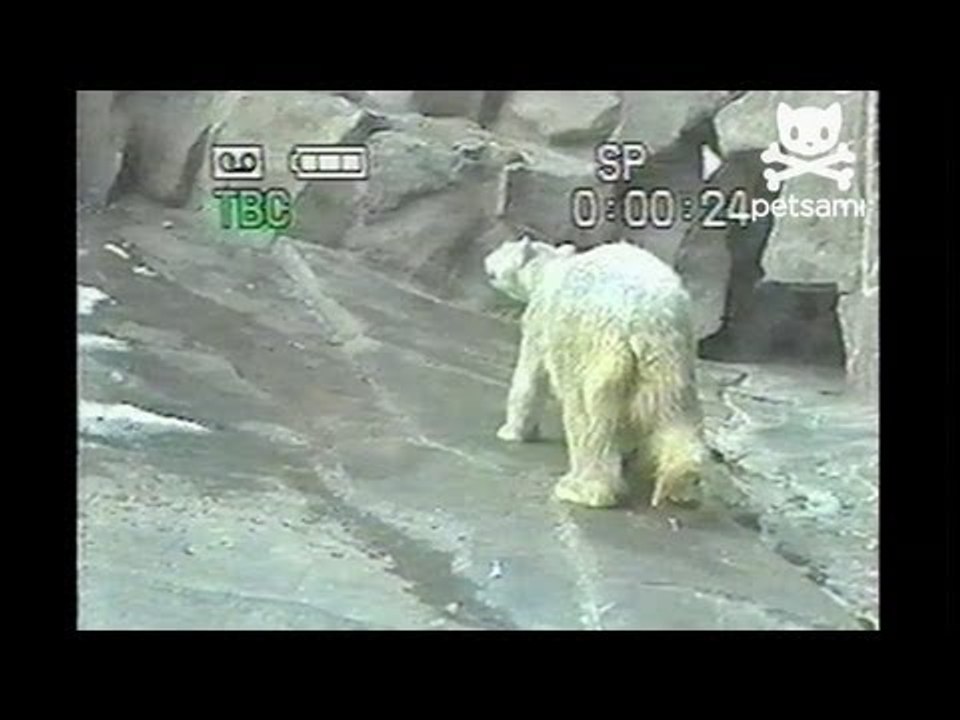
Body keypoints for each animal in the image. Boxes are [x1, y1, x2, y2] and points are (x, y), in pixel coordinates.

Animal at [484, 235, 706, 509]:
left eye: (505, 247)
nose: (487, 259)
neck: (550, 269)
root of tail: (645, 321)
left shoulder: (541, 322)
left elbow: (530, 378)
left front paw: (511, 432)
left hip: (598, 349)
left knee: (587, 418)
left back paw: (580, 488)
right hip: (673, 358)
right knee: (675, 413)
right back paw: (681, 484)